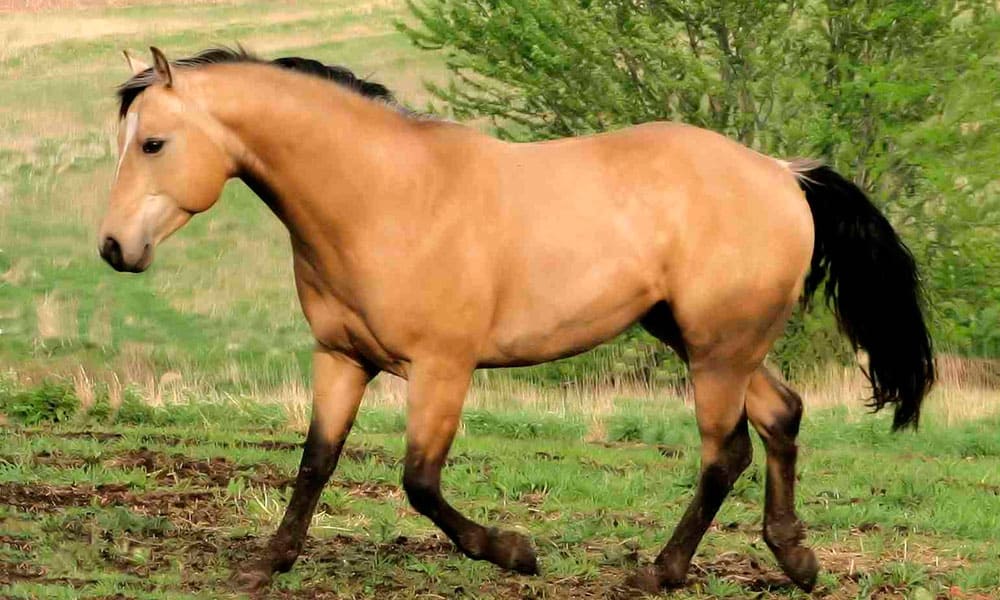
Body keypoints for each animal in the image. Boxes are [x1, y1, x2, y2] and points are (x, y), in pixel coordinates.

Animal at [99, 47, 934, 594]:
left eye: (154, 142)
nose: (113, 248)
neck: (384, 197)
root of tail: (782, 173)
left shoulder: (442, 369)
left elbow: (420, 482)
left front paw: (513, 552)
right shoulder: (340, 357)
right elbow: (315, 463)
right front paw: (267, 562)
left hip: (717, 352)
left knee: (725, 453)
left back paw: (660, 573)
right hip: (707, 341)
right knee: (782, 416)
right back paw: (795, 559)